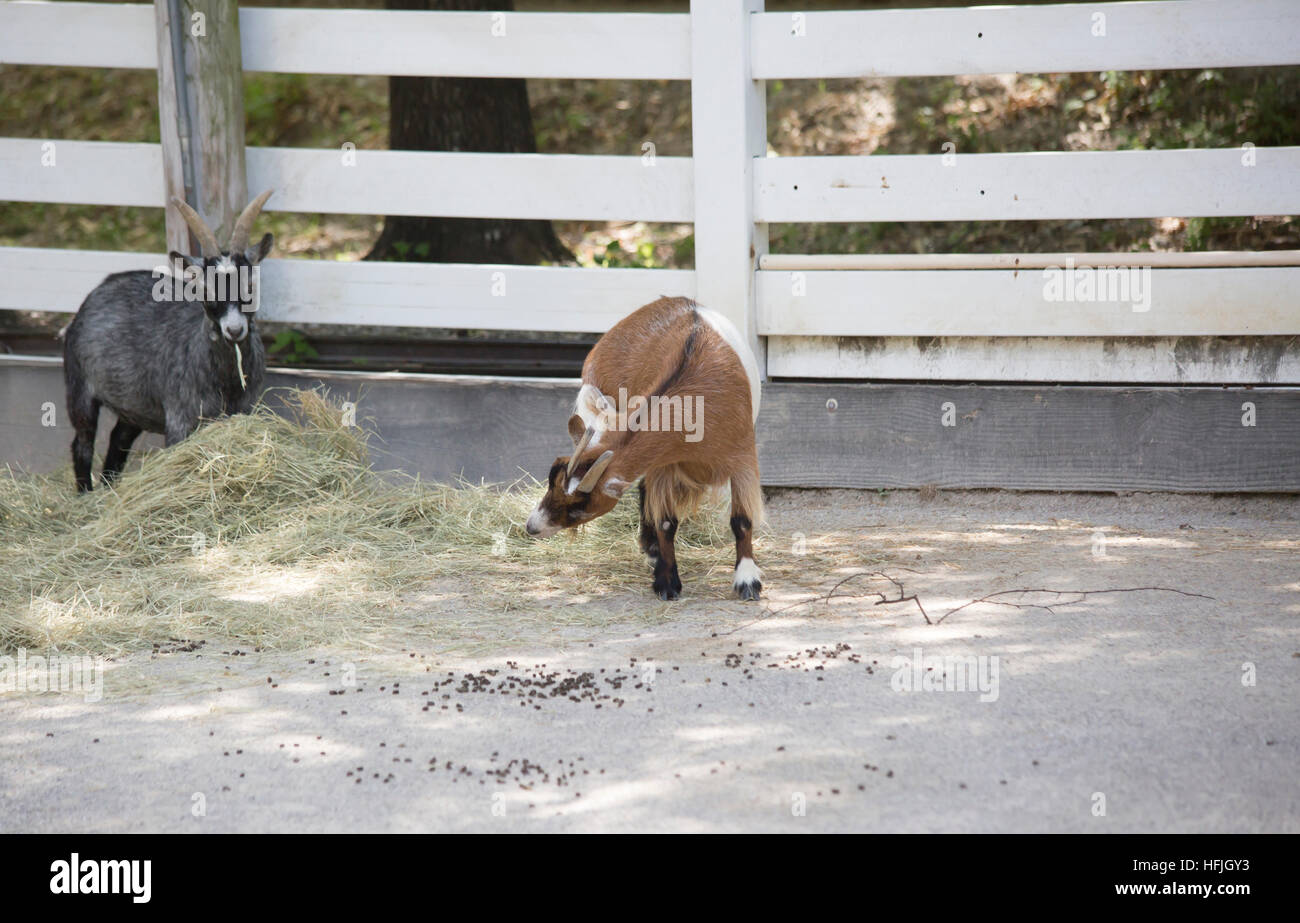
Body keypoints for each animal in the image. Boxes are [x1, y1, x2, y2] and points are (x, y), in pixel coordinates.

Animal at [63, 191, 274, 491]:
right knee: (82, 444)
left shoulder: (243, 410)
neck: (224, 381)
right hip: (79, 388)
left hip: (134, 404)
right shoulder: (179, 421)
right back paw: (86, 495)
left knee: (118, 440)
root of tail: (97, 291)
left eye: (250, 288)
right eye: (206, 293)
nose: (234, 330)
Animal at [525, 296, 764, 601]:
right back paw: (652, 551)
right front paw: (666, 581)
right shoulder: (662, 463)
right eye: (551, 479)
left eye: (580, 504)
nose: (532, 527)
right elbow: (666, 522)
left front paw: (747, 580)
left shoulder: (743, 456)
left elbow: (742, 519)